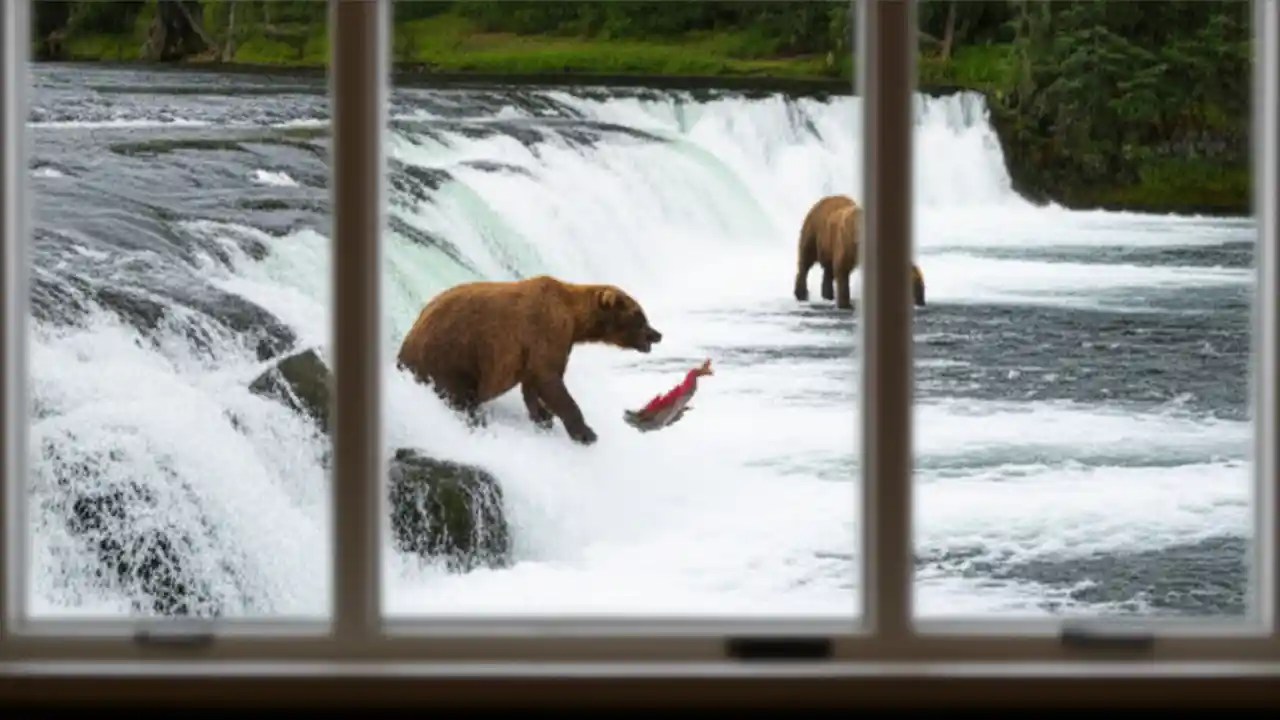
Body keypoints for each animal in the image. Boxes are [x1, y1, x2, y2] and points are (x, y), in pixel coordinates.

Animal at [396, 275, 663, 446]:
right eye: (640, 315)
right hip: (456, 353)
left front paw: (543, 417)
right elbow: (549, 378)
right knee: (460, 394)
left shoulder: (532, 347)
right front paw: (586, 432)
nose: (657, 334)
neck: (575, 319)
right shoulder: (547, 329)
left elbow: (533, 383)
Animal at [793, 194, 927, 310]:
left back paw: (828, 295)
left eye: (922, 286)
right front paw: (845, 305)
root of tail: (822, 200)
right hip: (815, 231)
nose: (922, 302)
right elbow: (842, 269)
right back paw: (802, 294)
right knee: (806, 260)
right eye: (918, 287)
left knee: (828, 268)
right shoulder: (846, 242)